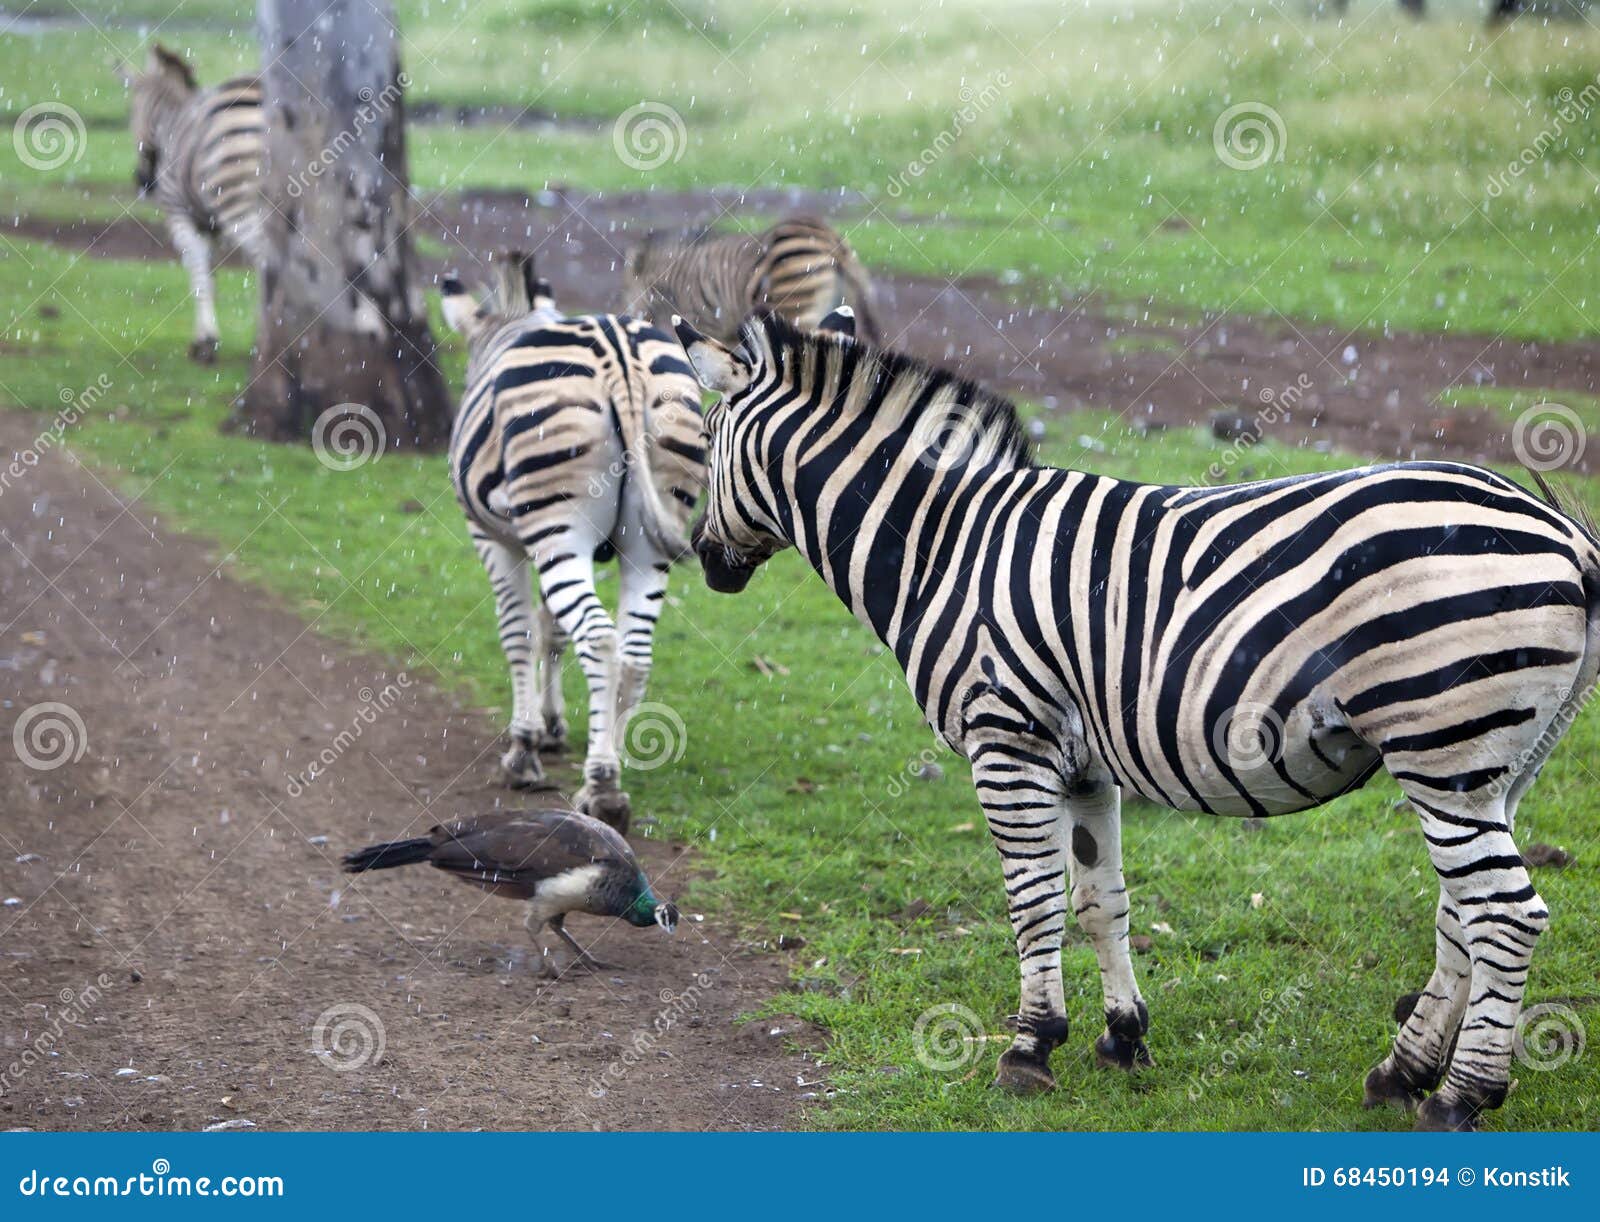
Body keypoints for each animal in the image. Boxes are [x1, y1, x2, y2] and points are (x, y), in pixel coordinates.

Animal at [124, 44, 266, 364]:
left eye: (130, 111)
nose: (142, 180)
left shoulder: (181, 216)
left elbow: (198, 275)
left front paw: (205, 343)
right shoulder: (209, 224)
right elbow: (211, 278)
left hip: (240, 206)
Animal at [441, 253, 706, 833]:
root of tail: (622, 357)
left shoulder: (497, 539)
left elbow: (518, 632)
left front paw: (524, 747)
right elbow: (551, 630)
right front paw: (553, 726)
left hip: (555, 522)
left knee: (601, 638)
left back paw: (603, 787)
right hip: (645, 539)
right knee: (633, 652)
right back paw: (613, 763)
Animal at [672, 306, 1600, 1131]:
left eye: (707, 439)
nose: (705, 560)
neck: (945, 545)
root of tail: (1564, 535)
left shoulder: (1006, 738)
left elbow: (1033, 901)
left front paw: (1029, 1049)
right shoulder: (1084, 761)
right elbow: (1099, 899)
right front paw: (1122, 1039)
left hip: (1442, 747)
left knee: (1503, 915)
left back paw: (1458, 1099)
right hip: (1491, 767)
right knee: (1461, 914)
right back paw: (1400, 1074)